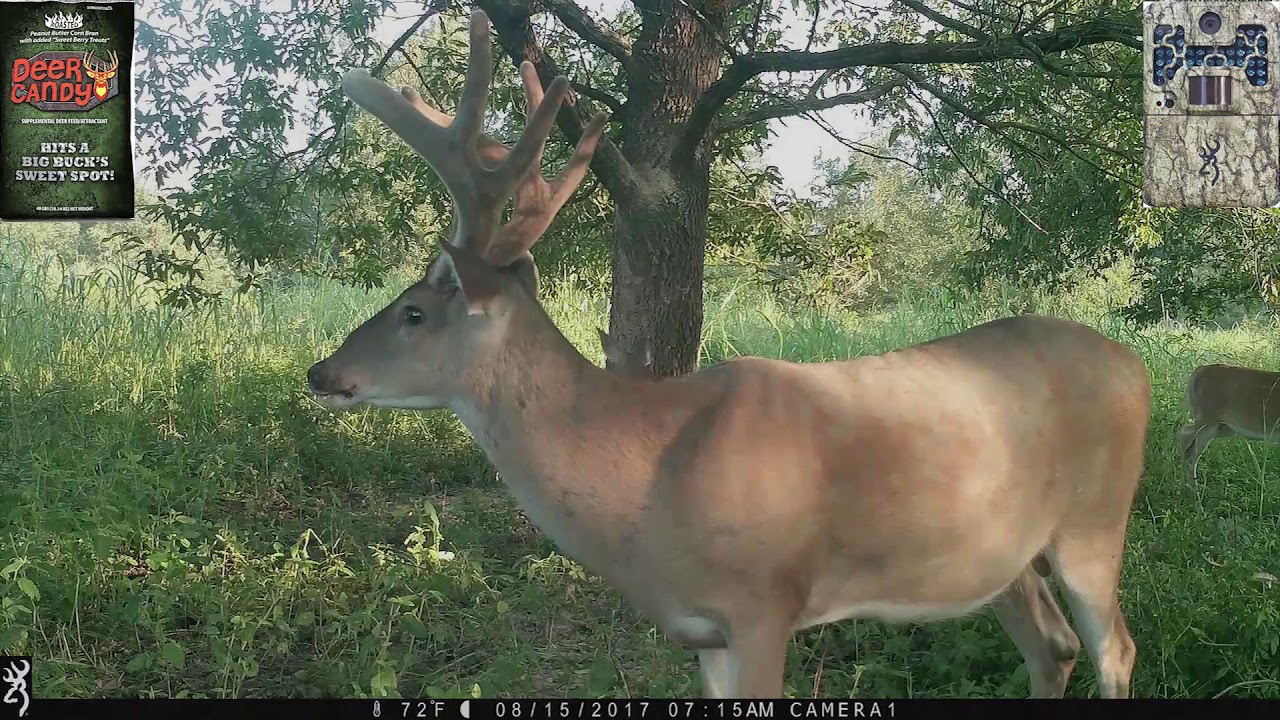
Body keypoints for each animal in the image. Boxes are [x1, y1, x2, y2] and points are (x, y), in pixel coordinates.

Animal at [307, 9, 1150, 699]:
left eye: (414, 311)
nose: (322, 372)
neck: (648, 481)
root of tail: (1134, 364)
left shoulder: (764, 601)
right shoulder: (704, 631)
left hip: (1096, 520)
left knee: (1115, 648)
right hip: (1005, 557)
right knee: (1053, 647)